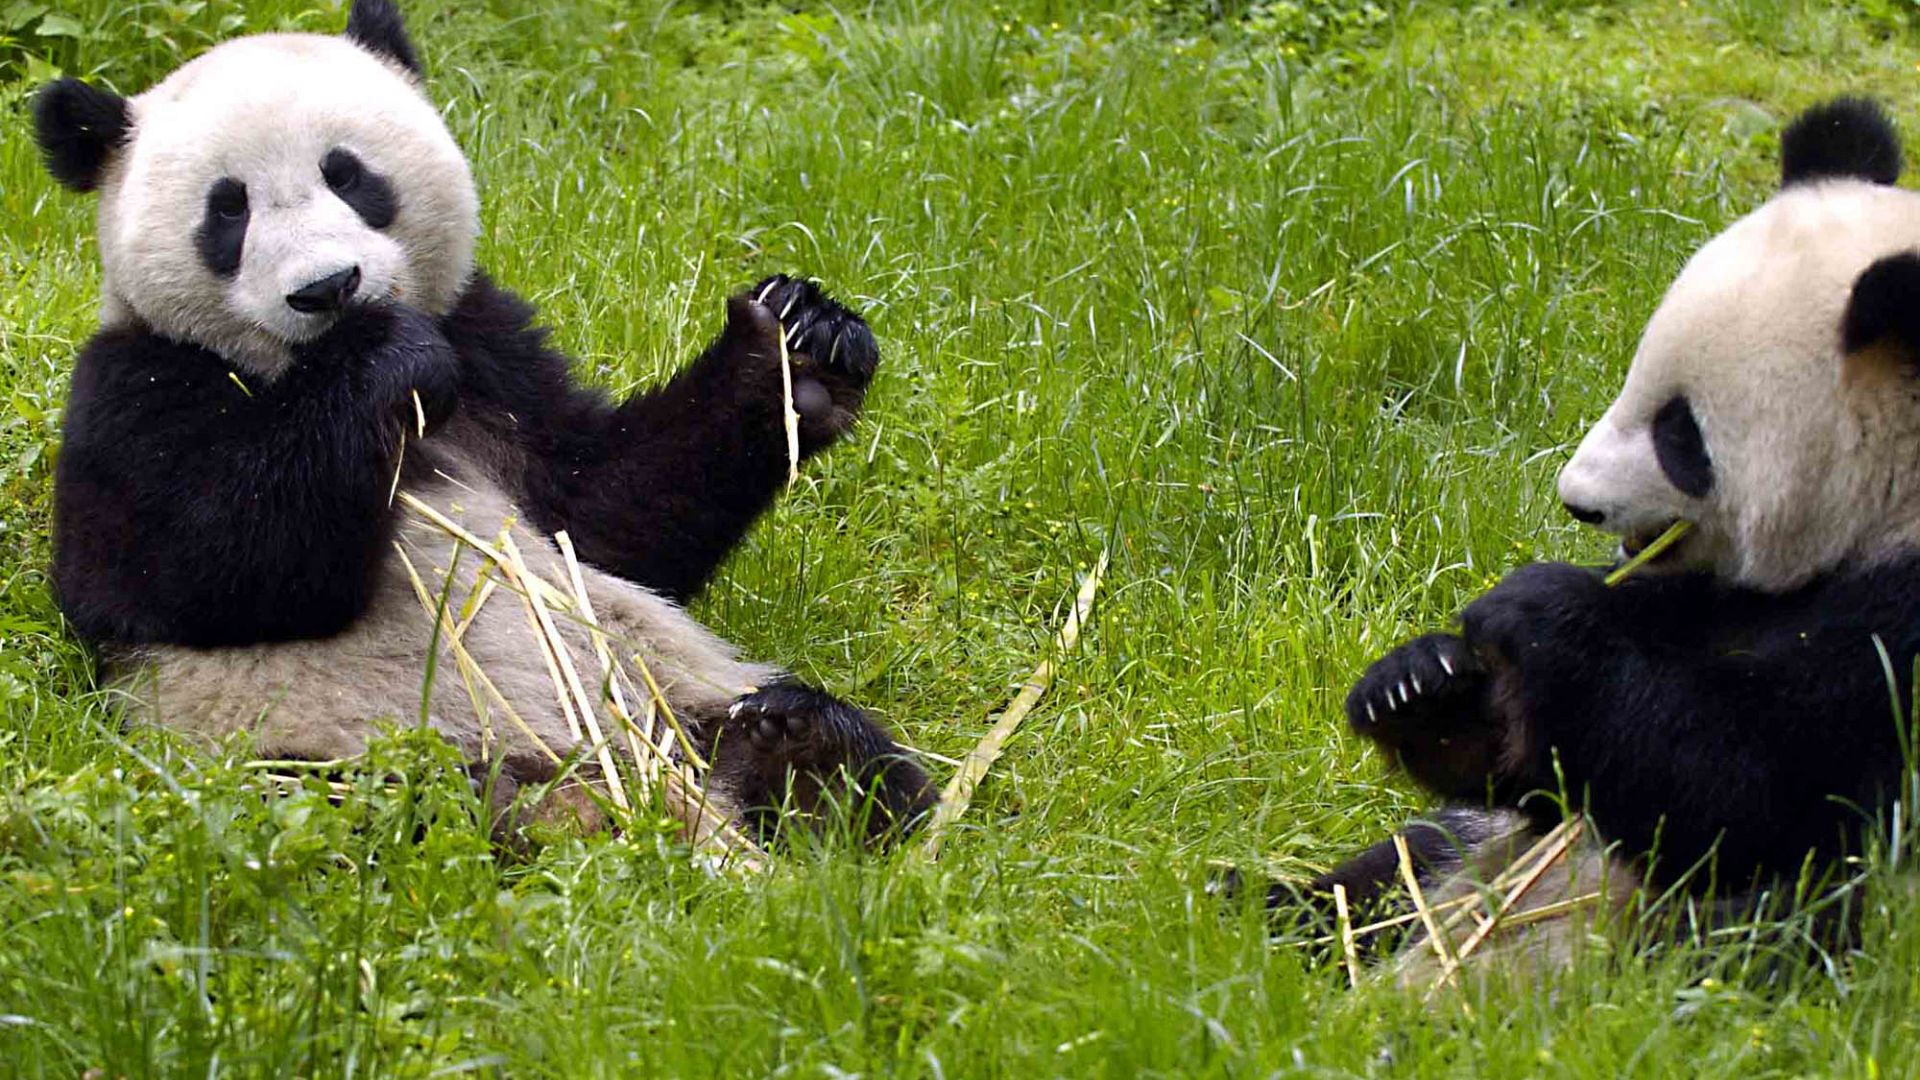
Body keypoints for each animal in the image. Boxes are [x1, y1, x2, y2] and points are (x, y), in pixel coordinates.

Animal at [32, 0, 934, 841]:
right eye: (228, 211)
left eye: (348, 175)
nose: (326, 288)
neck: (297, 377)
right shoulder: (130, 391)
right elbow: (196, 570)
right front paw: (384, 356)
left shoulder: (492, 351)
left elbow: (603, 523)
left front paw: (799, 346)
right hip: (317, 757)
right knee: (379, 812)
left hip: (673, 701)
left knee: (838, 751)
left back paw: (810, 763)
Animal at [1288, 97, 1920, 981]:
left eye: (1680, 433)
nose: (1576, 503)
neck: (1884, 520)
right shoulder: (1694, 598)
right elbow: (1540, 766)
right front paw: (1416, 681)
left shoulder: (1902, 638)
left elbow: (1751, 797)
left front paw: (1535, 608)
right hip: (1467, 857)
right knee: (1398, 867)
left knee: (1764, 931)